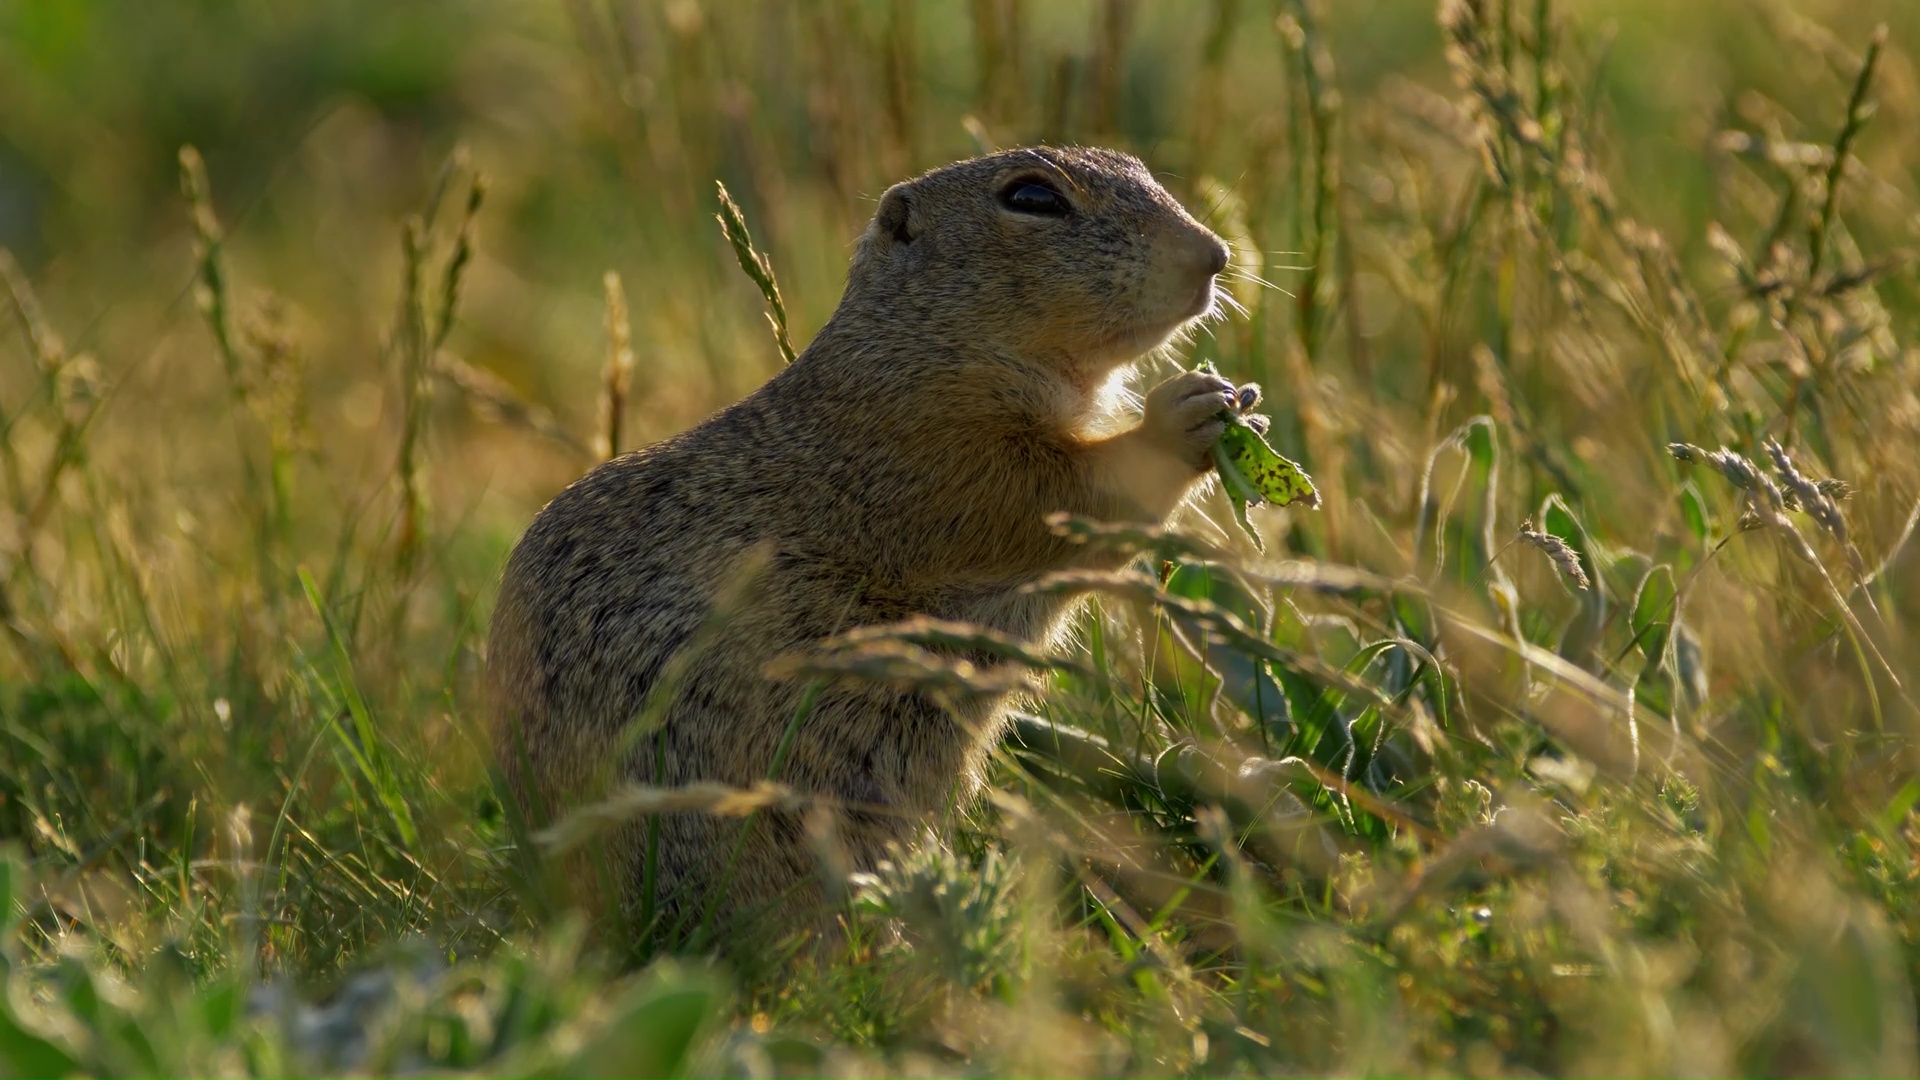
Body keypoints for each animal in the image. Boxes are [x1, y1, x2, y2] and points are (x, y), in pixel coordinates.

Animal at [487, 145, 1243, 949]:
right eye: (1033, 198)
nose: (1214, 254)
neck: (920, 347)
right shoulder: (938, 455)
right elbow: (1062, 497)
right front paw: (1183, 414)